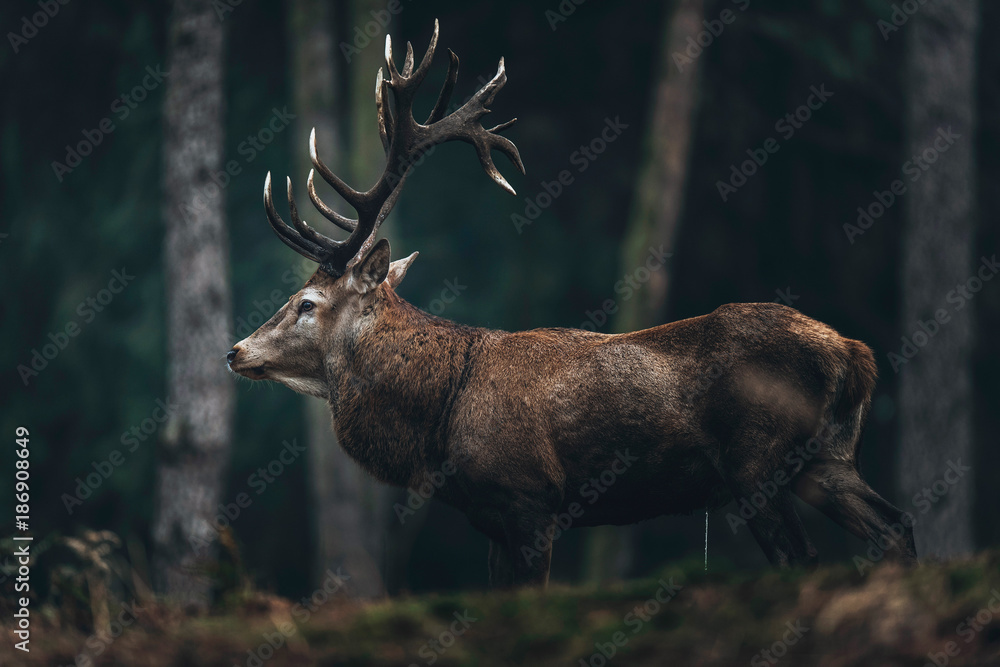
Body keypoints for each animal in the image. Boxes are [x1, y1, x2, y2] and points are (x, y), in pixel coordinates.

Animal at [227, 20, 917, 587]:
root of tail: (855, 354)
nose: (235, 351)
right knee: (896, 527)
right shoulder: (492, 520)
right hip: (827, 458)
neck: (442, 417)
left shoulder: (531, 499)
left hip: (758, 461)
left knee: (804, 557)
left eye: (306, 302)